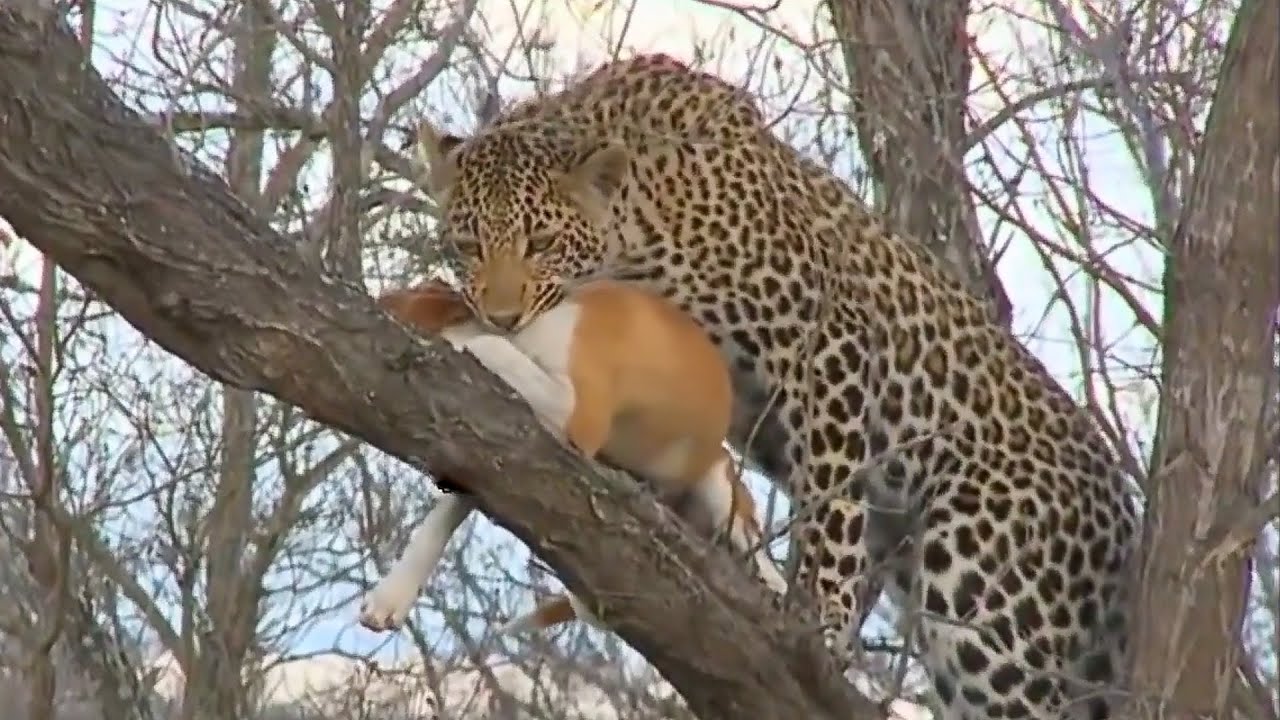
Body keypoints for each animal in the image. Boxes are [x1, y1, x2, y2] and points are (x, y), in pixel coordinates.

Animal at [409, 53, 1140, 720]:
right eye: (468, 244)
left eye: (540, 241)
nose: (501, 316)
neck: (638, 218)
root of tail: (1123, 513)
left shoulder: (831, 338)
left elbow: (831, 501)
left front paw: (820, 620)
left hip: (985, 599)